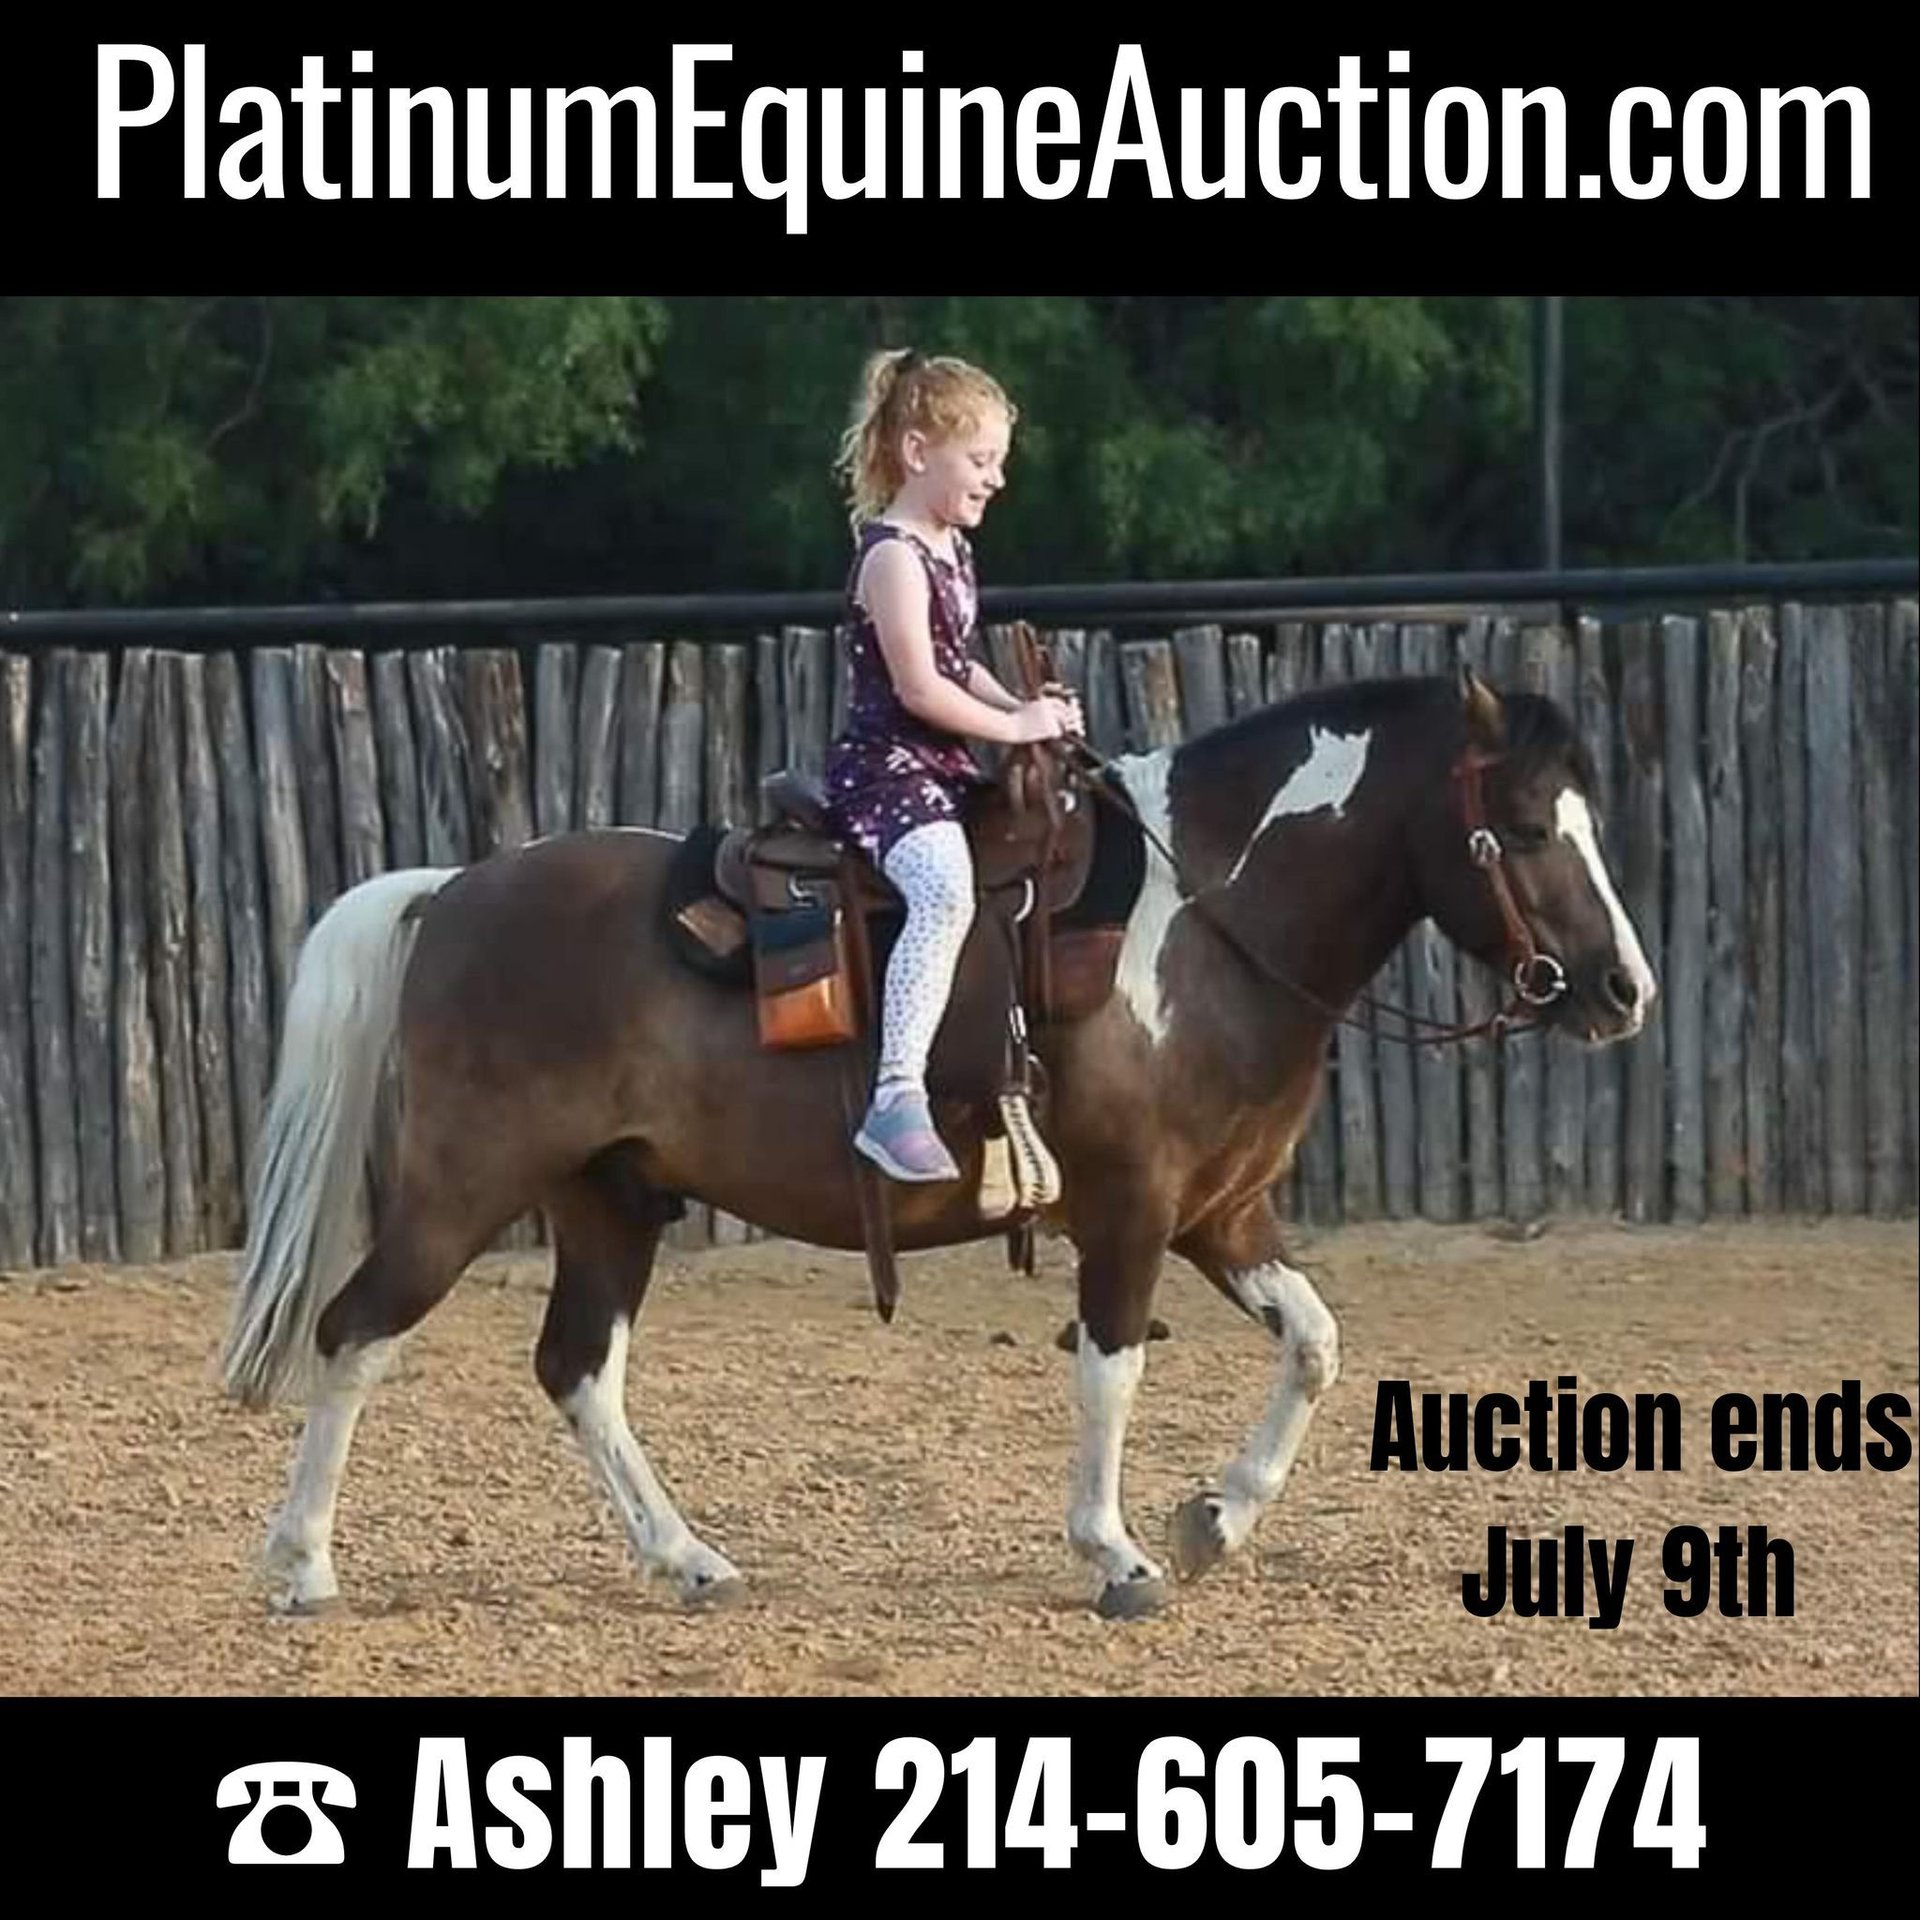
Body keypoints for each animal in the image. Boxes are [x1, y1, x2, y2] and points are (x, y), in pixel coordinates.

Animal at [221, 665, 1656, 1621]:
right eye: (1533, 829)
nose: (1623, 989)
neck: (1207, 920)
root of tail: (455, 889)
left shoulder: (1224, 1213)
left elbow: (1315, 1342)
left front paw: (1214, 1517)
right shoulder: (1132, 1213)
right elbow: (1111, 1369)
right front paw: (1116, 1553)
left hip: (607, 1200)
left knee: (578, 1369)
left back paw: (686, 1558)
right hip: (460, 1191)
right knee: (355, 1332)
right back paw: (302, 1565)